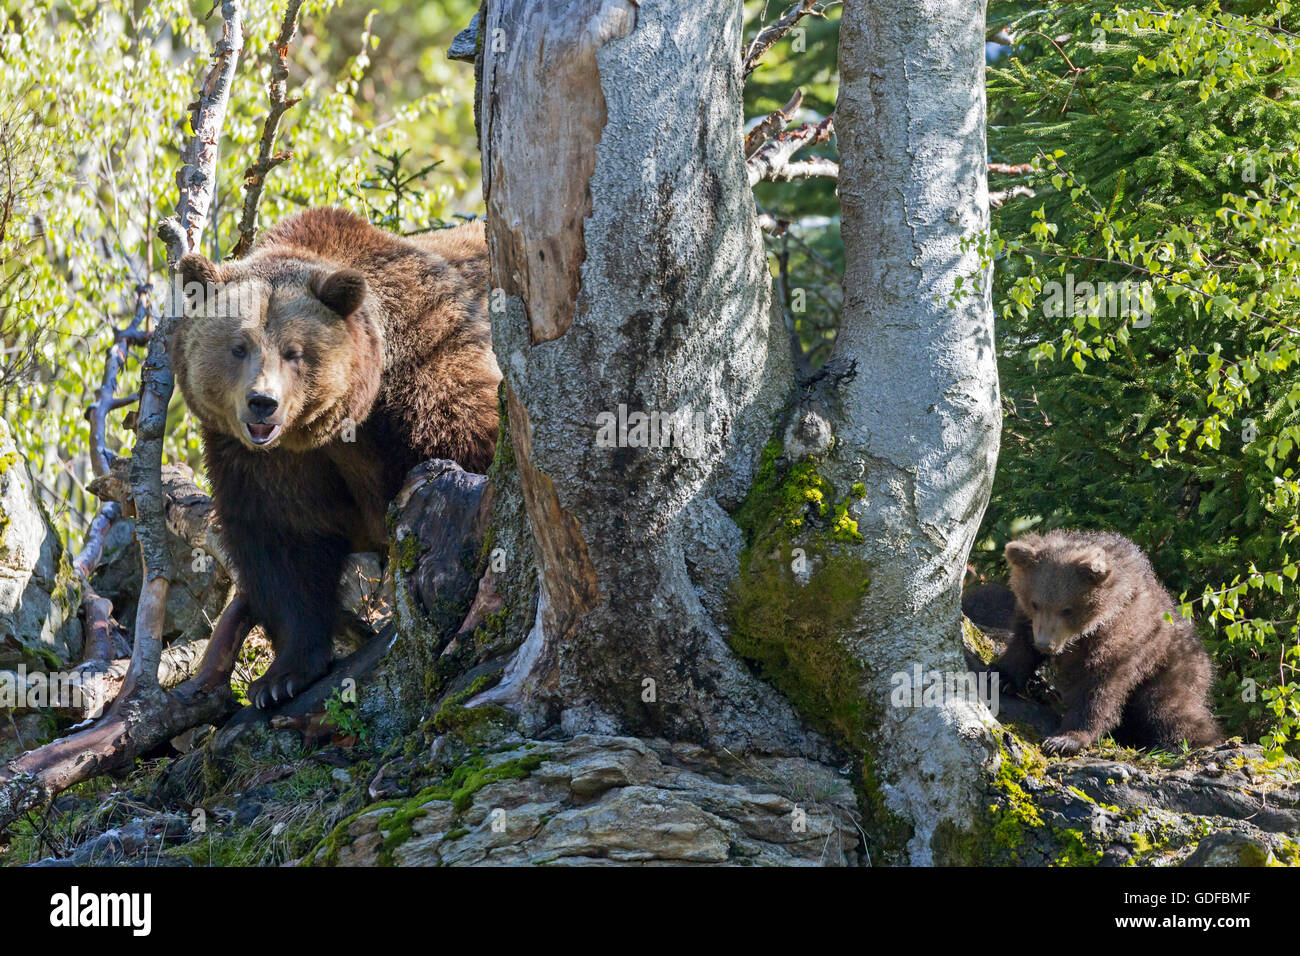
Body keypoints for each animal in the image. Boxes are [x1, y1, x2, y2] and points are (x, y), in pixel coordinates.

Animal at [172, 207, 501, 708]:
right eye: (238, 347)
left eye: (294, 352)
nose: (262, 403)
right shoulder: (265, 464)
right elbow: (285, 549)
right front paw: (282, 677)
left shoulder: (431, 378)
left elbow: (470, 456)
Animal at [990, 529, 1222, 756]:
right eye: (1035, 603)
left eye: (1067, 609)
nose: (1046, 645)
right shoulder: (1029, 622)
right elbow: (1021, 647)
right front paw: (1002, 677)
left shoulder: (1121, 640)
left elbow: (1099, 689)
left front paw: (1065, 739)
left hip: (1170, 667)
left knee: (1169, 708)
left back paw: (1187, 742)